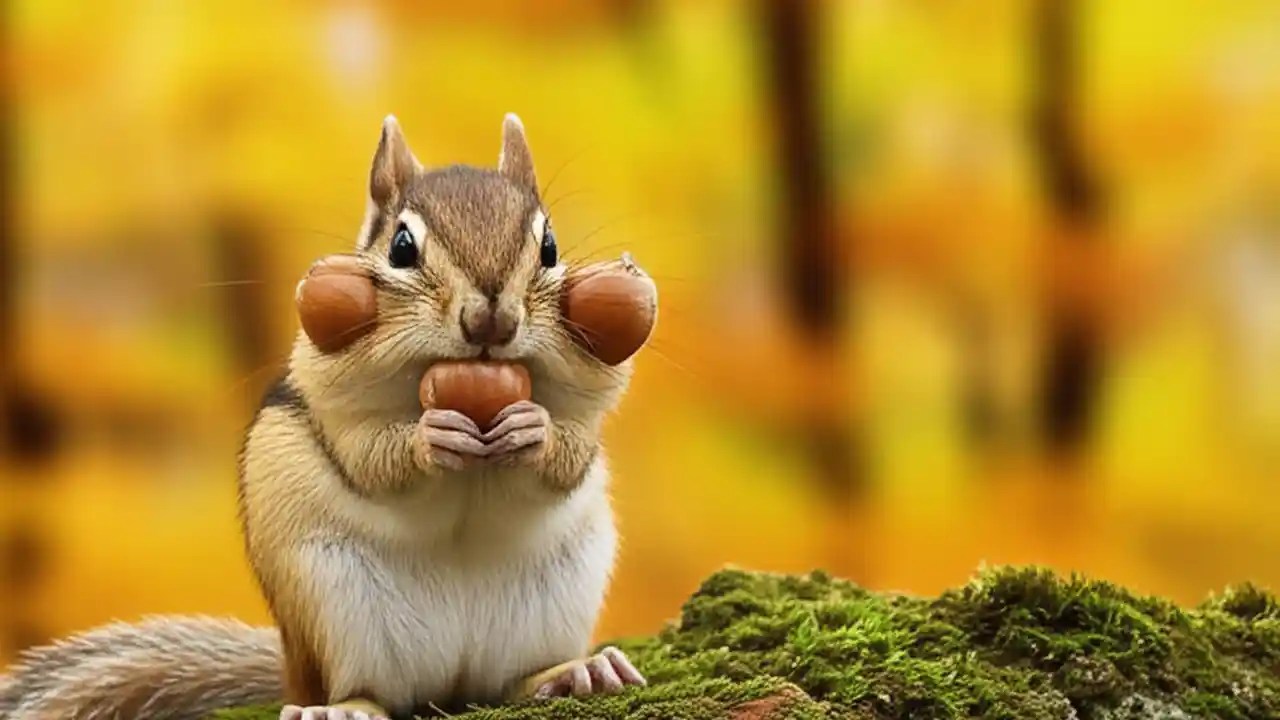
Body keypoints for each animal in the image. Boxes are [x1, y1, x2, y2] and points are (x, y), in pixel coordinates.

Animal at [0, 113, 648, 720]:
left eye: (550, 247)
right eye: (402, 247)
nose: (492, 320)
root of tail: (451, 681)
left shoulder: (590, 398)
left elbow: (571, 454)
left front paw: (532, 428)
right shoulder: (333, 397)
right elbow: (370, 460)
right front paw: (429, 436)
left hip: (557, 598)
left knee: (511, 680)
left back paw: (572, 672)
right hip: (332, 604)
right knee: (369, 690)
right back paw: (344, 705)